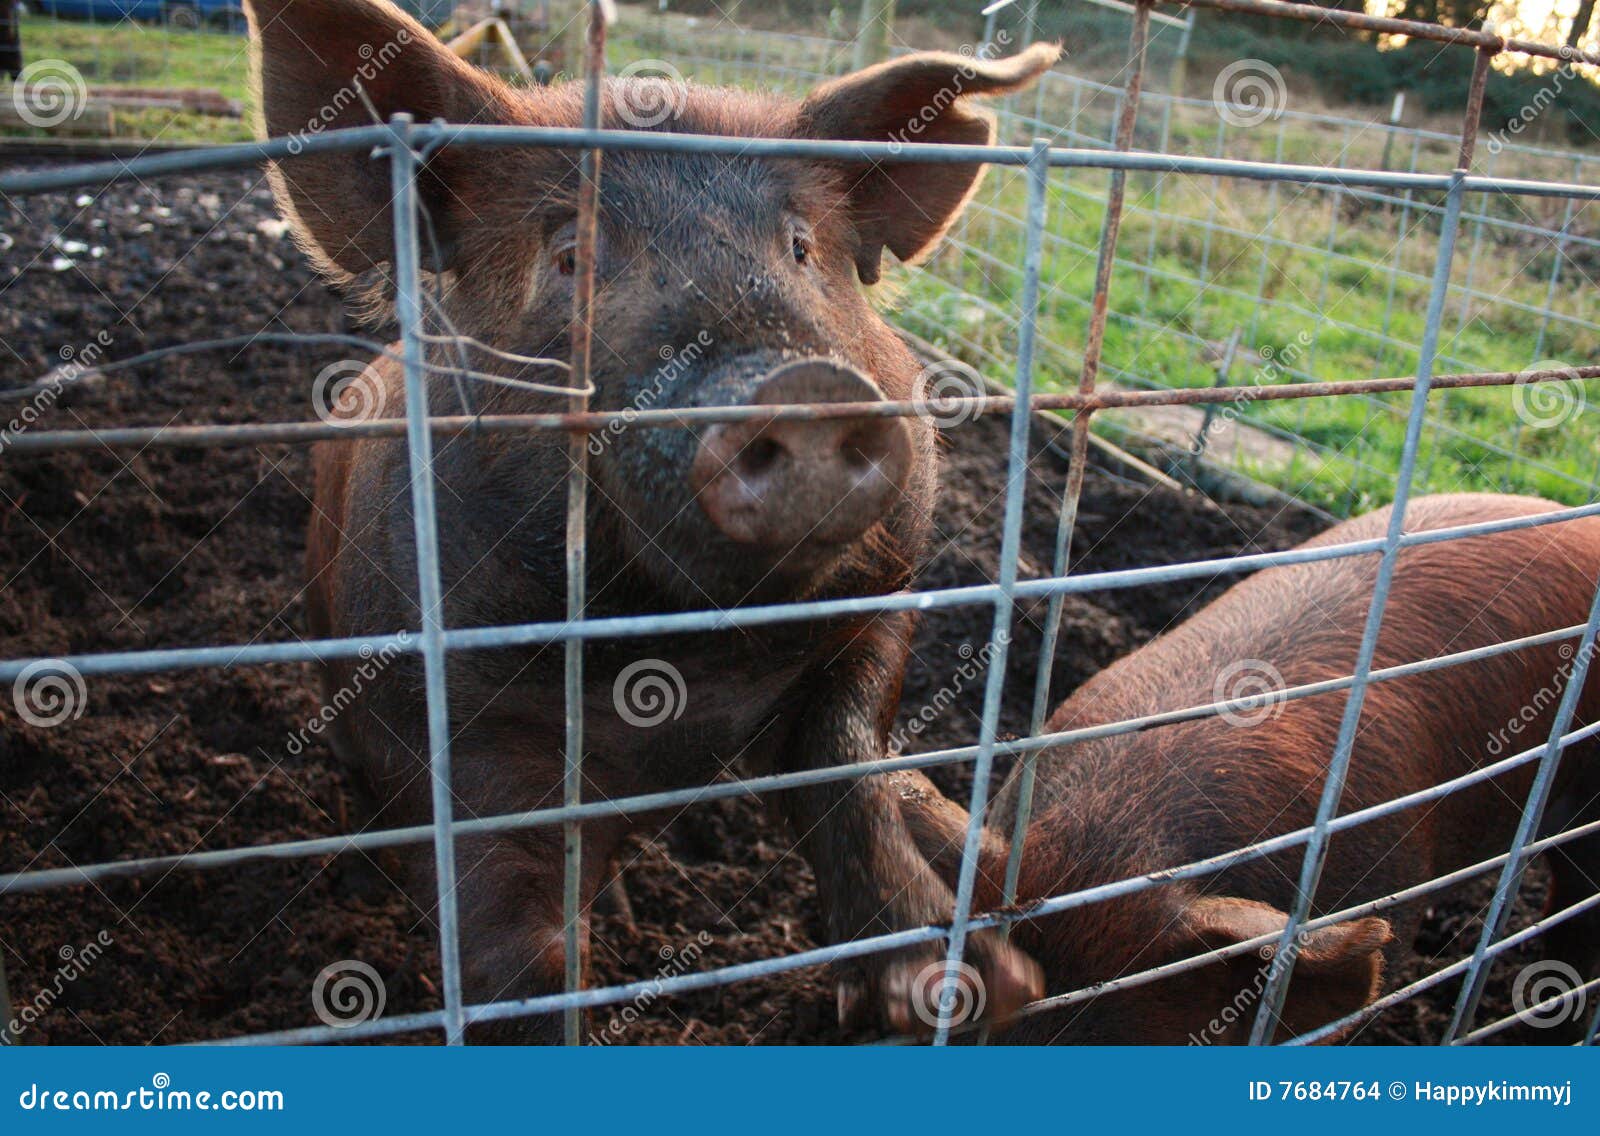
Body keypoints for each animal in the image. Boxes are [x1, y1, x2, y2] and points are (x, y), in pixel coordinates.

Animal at [245, 0, 1055, 1039]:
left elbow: (844, 761)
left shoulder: (879, 604)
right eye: (570, 257)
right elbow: (513, 935)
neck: (674, 659)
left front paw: (976, 986)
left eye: (803, 250)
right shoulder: (438, 712)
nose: (798, 384)